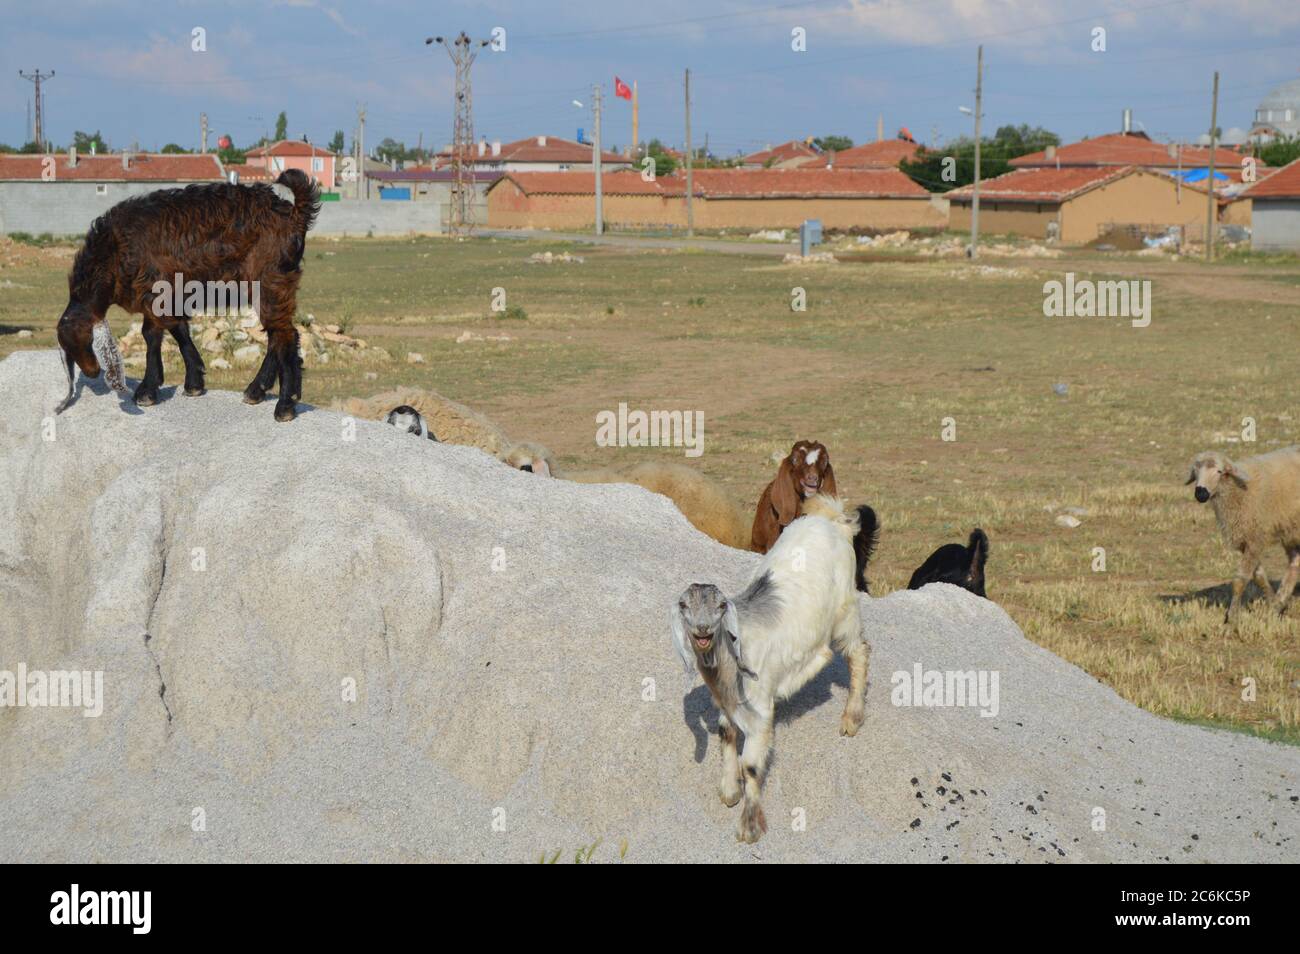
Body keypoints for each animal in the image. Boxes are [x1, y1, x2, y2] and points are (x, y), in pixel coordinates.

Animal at [56, 169, 319, 422]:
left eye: (84, 341)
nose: (92, 372)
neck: (112, 252)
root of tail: (294, 213)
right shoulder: (169, 296)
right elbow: (179, 328)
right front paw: (194, 381)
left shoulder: (154, 291)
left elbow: (151, 334)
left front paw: (147, 390)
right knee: (279, 334)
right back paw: (257, 390)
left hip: (272, 280)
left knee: (285, 335)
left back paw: (284, 405)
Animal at [671, 495, 876, 843]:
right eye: (684, 605)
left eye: (721, 607)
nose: (702, 631)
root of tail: (832, 517)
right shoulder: (728, 703)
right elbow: (726, 734)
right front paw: (729, 790)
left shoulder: (760, 710)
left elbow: (751, 766)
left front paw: (749, 828)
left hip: (845, 611)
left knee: (859, 652)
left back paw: (852, 718)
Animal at [1186, 446, 1300, 631]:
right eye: (1195, 472)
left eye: (1219, 471)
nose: (1201, 493)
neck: (1237, 492)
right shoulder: (1246, 539)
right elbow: (1259, 576)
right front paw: (1271, 604)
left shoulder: (1255, 538)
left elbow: (1240, 580)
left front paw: (1231, 618)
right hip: (1290, 529)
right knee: (1294, 563)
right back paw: (1279, 602)